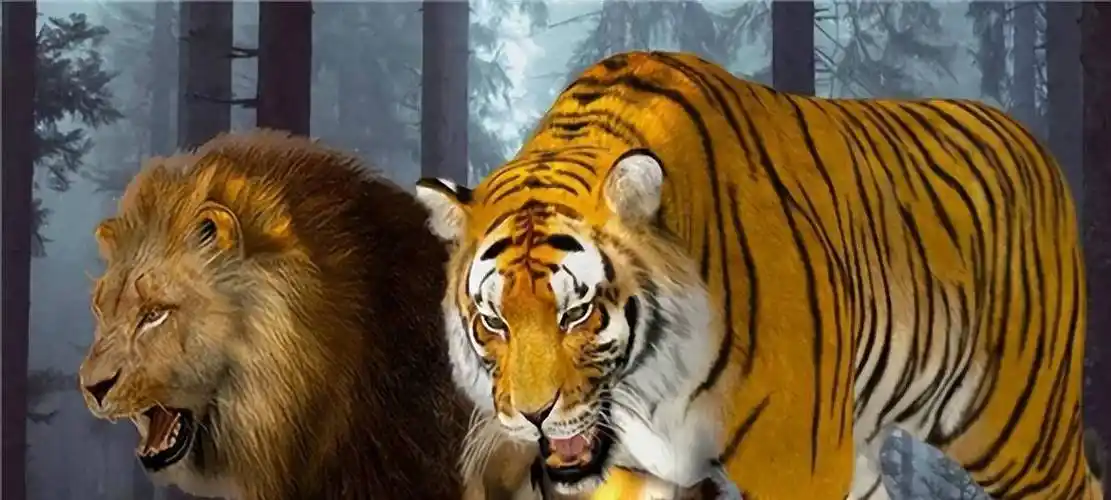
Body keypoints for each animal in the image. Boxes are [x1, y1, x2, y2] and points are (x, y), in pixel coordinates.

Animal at [414, 50, 1102, 500]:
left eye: (576, 312)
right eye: (493, 321)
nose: (531, 417)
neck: (650, 388)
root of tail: (1031, 138)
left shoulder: (795, 464)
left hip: (1019, 430)